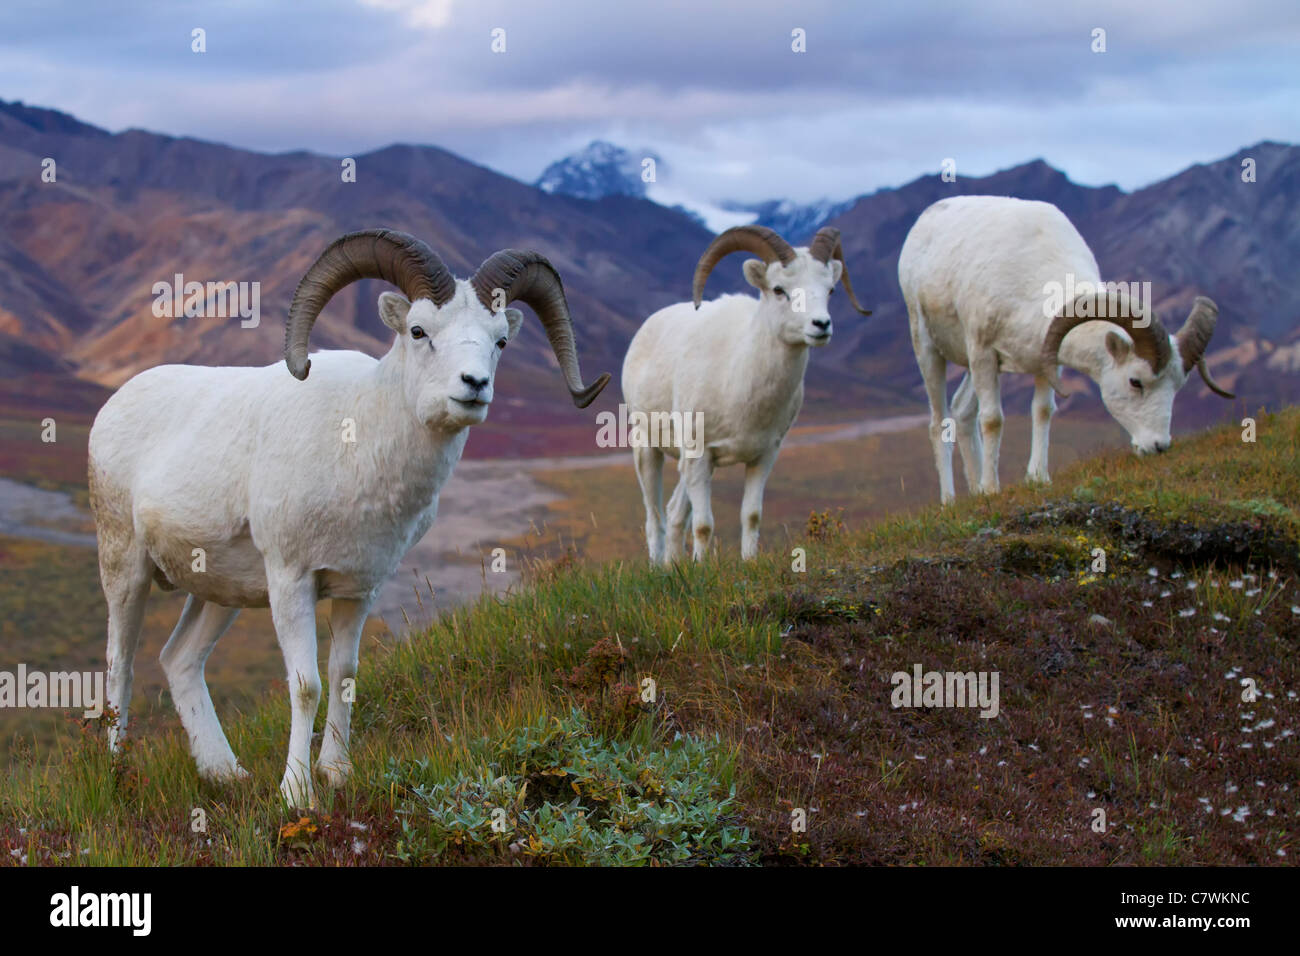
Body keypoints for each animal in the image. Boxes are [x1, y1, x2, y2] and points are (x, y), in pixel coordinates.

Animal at [88, 229, 609, 808]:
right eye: (419, 331)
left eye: (499, 341)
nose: (473, 385)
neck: (358, 445)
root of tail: (114, 405)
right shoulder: (291, 580)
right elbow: (306, 686)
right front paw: (297, 794)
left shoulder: (359, 590)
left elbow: (344, 674)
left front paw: (337, 774)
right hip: (125, 567)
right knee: (120, 663)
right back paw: (117, 773)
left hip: (220, 593)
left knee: (179, 660)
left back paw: (226, 774)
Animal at [622, 225, 870, 563]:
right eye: (779, 289)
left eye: (830, 290)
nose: (821, 325)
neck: (739, 384)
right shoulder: (699, 456)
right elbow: (704, 525)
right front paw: (703, 569)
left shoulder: (761, 457)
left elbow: (751, 515)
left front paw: (748, 562)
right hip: (648, 449)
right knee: (655, 520)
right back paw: (660, 569)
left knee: (674, 515)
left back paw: (675, 567)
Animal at [897, 196, 1234, 503]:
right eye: (1135, 382)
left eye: (1177, 387)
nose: (1158, 447)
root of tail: (923, 222)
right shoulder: (983, 353)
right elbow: (993, 420)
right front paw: (993, 489)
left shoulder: (1045, 362)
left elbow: (1043, 411)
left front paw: (1037, 478)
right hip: (928, 349)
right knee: (939, 421)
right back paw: (951, 501)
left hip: (969, 367)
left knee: (963, 410)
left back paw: (977, 490)